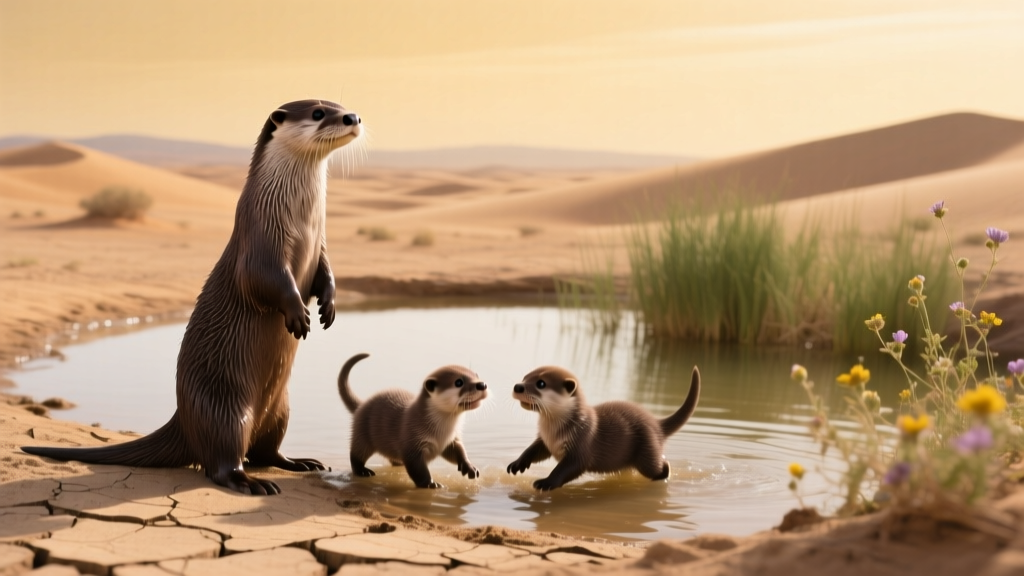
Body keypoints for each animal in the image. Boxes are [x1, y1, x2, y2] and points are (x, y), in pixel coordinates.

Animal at [22, 100, 363, 495]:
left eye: (342, 105)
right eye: (319, 113)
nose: (353, 117)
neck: (301, 222)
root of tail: (183, 418)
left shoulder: (320, 245)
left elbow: (325, 274)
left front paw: (329, 305)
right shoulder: (259, 246)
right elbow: (265, 282)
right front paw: (297, 314)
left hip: (281, 408)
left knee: (266, 451)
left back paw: (298, 462)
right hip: (225, 408)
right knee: (222, 460)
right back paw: (250, 482)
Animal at [337, 353, 488, 488]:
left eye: (476, 375)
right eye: (458, 382)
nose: (482, 384)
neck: (441, 432)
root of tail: (361, 405)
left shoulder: (451, 440)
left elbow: (457, 451)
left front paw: (470, 468)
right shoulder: (412, 441)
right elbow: (417, 468)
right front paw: (430, 484)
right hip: (362, 432)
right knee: (356, 454)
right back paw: (363, 471)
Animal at [506, 366, 701, 491]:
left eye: (541, 383)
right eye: (525, 377)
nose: (518, 386)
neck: (554, 431)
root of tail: (656, 424)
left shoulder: (581, 443)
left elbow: (567, 468)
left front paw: (546, 483)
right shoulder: (545, 440)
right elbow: (534, 450)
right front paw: (517, 464)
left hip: (647, 449)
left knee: (660, 465)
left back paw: (660, 478)